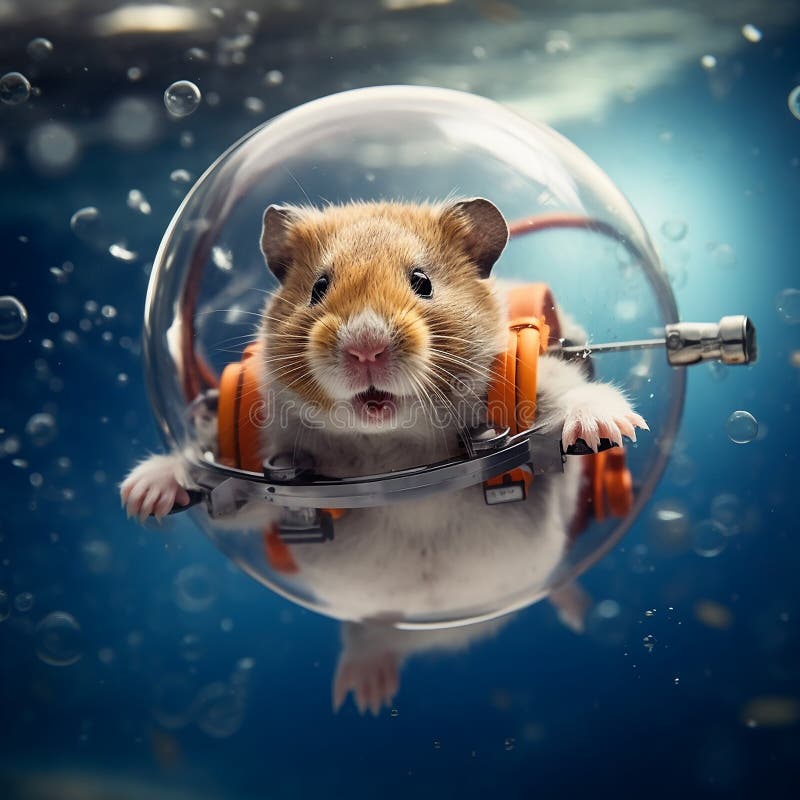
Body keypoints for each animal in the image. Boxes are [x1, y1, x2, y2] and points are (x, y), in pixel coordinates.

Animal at [121, 198, 647, 715]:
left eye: (423, 282)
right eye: (319, 287)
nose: (365, 349)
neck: (395, 448)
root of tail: (448, 629)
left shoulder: (538, 389)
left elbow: (573, 395)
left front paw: (609, 425)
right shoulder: (264, 471)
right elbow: (218, 493)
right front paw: (140, 494)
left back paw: (578, 614)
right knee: (371, 637)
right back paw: (364, 695)